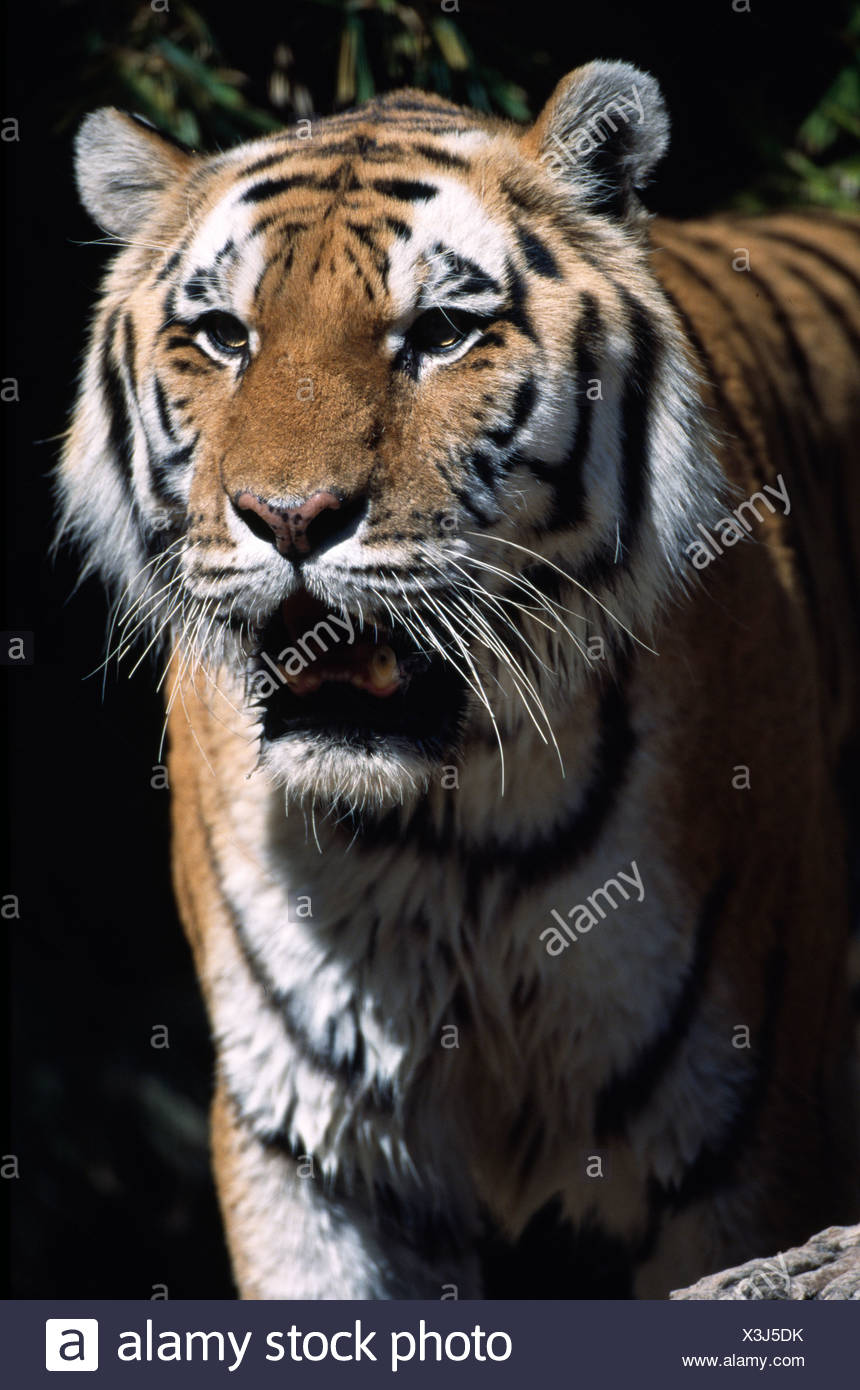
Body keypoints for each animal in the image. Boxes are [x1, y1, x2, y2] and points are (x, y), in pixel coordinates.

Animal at [57, 59, 860, 1299]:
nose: (290, 517)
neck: (437, 826)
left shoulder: (744, 1132)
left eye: (438, 332)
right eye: (223, 334)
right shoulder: (314, 1153)